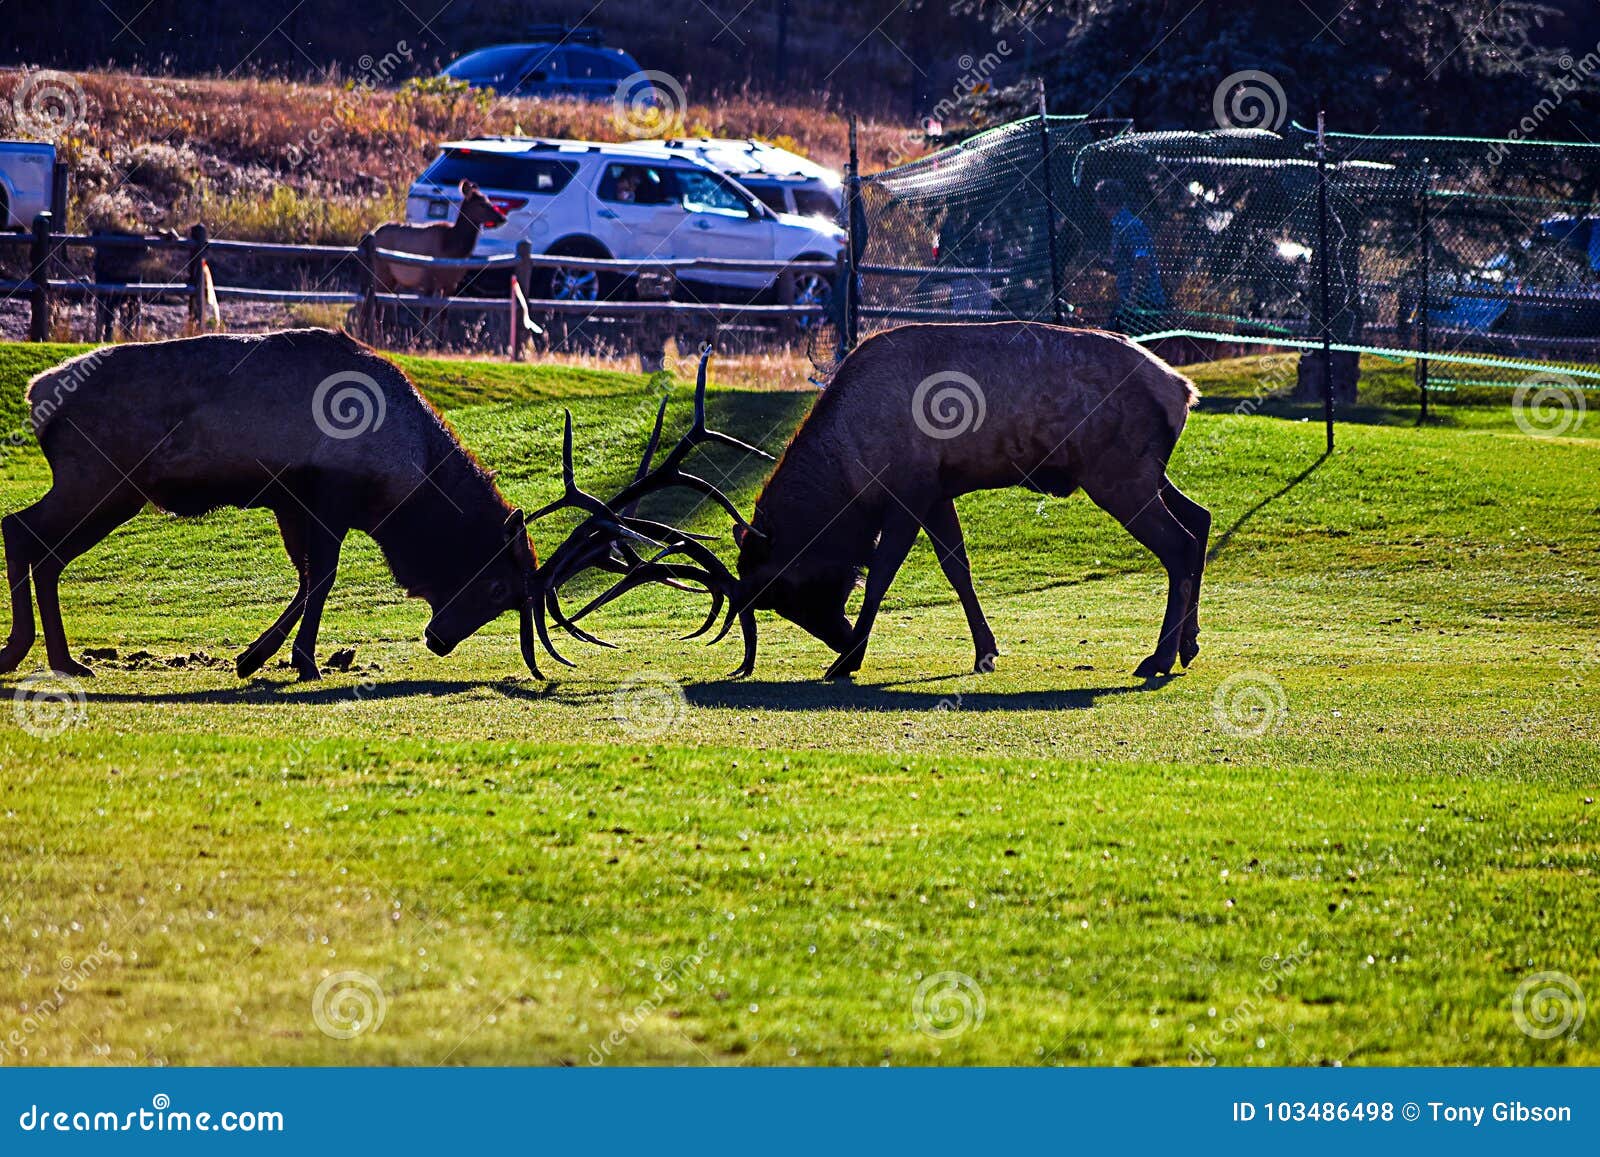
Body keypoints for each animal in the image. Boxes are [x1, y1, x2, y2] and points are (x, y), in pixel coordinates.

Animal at [0, 329, 544, 682]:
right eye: (498, 587)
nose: (439, 640)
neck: (410, 479)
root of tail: (36, 394)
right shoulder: (329, 500)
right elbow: (321, 578)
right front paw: (303, 662)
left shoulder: (290, 504)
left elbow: (305, 578)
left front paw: (253, 658)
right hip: (100, 482)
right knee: (20, 527)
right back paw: (20, 649)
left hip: (110, 491)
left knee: (45, 552)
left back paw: (64, 660)